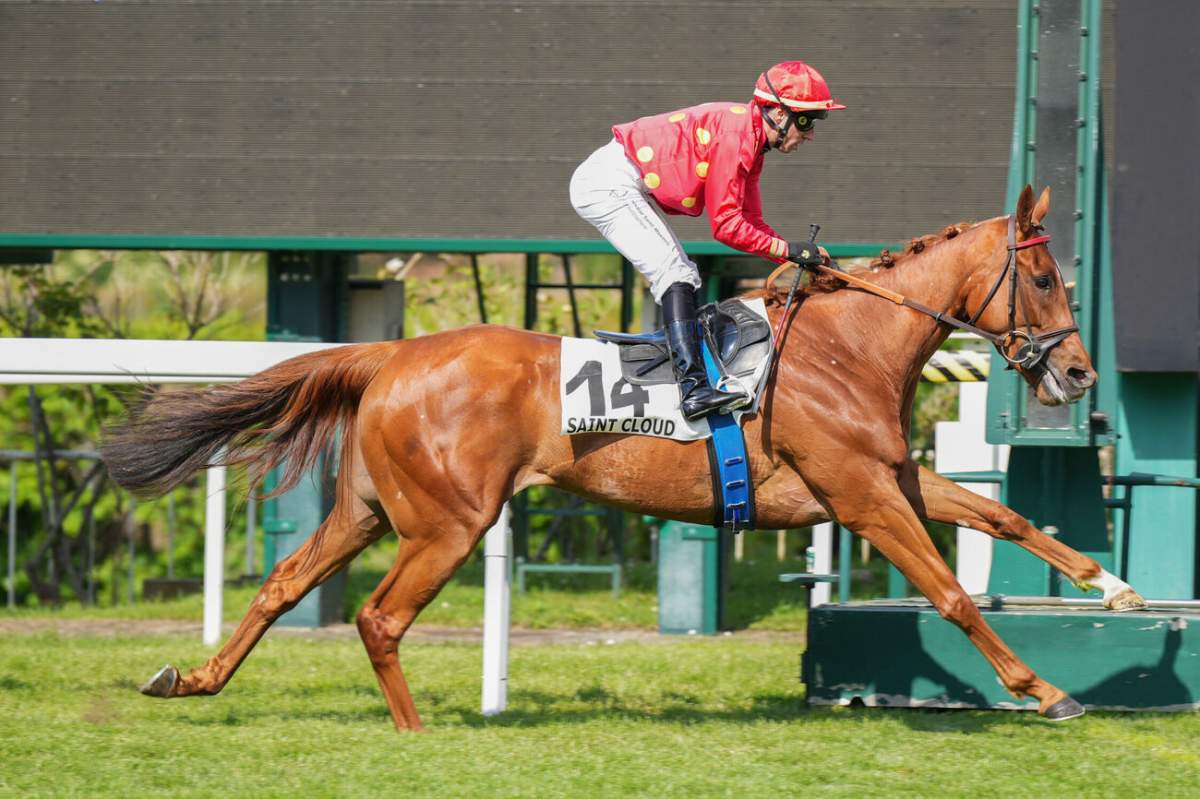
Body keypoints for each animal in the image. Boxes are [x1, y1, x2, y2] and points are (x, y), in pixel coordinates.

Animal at [102, 185, 1146, 730]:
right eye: (1043, 275)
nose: (1082, 372)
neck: (849, 344)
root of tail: (391, 355)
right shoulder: (860, 496)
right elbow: (955, 593)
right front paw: (1047, 690)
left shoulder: (891, 476)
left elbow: (1003, 515)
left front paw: (1116, 589)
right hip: (447, 522)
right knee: (378, 617)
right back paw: (416, 730)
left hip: (367, 509)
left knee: (283, 586)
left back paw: (189, 678)